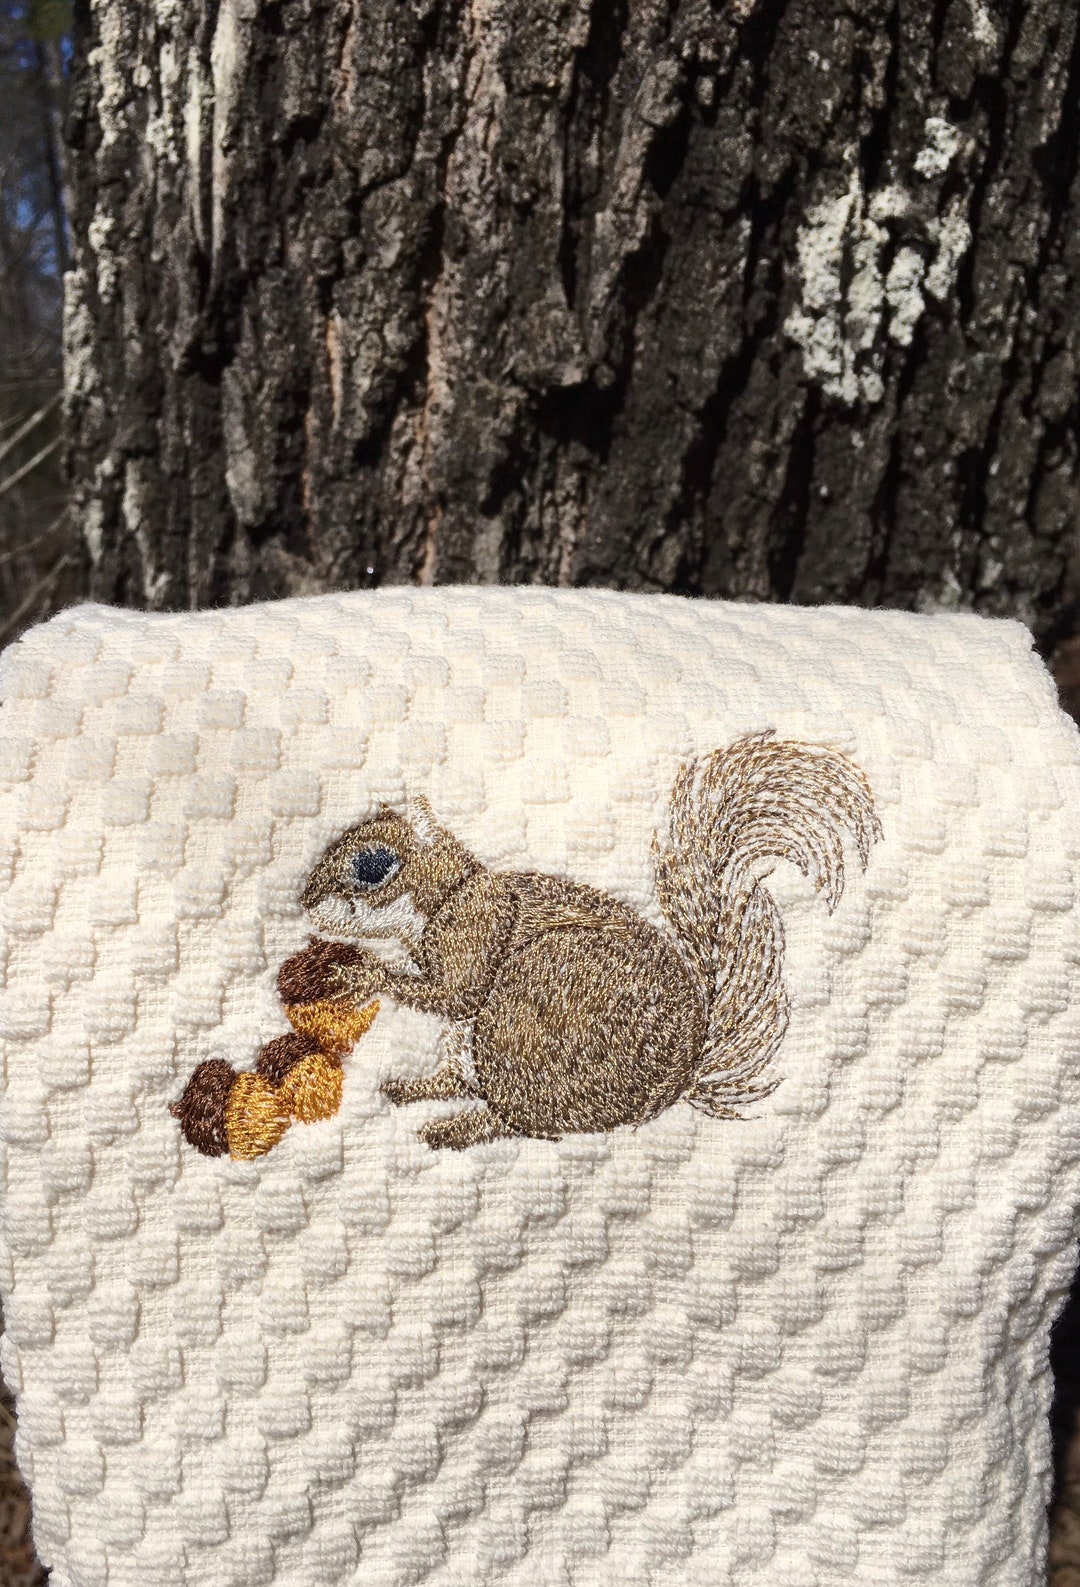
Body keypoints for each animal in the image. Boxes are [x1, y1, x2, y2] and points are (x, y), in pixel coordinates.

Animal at [277, 731, 881, 1151]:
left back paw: (452, 1130)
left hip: (525, 1016)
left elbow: (452, 993)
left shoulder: (476, 927)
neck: (452, 891)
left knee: (517, 1122)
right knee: (470, 1085)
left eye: (373, 865)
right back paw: (418, 1089)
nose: (304, 902)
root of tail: (668, 1088)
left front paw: (360, 973)